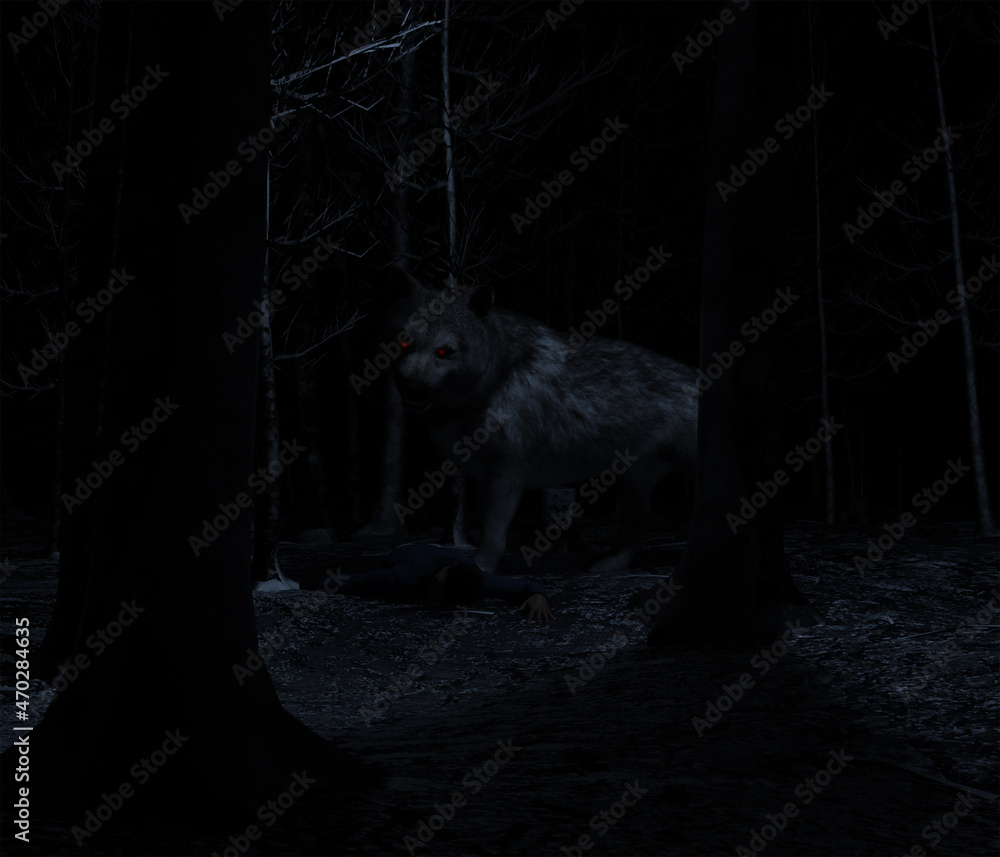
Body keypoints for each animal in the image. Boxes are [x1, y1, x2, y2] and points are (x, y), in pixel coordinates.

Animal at [387, 273, 698, 574]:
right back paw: (607, 565)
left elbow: (493, 534)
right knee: (640, 522)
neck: (492, 379)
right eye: (403, 343)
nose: (412, 388)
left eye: (444, 352)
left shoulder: (507, 472)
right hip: (632, 481)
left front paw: (481, 567)